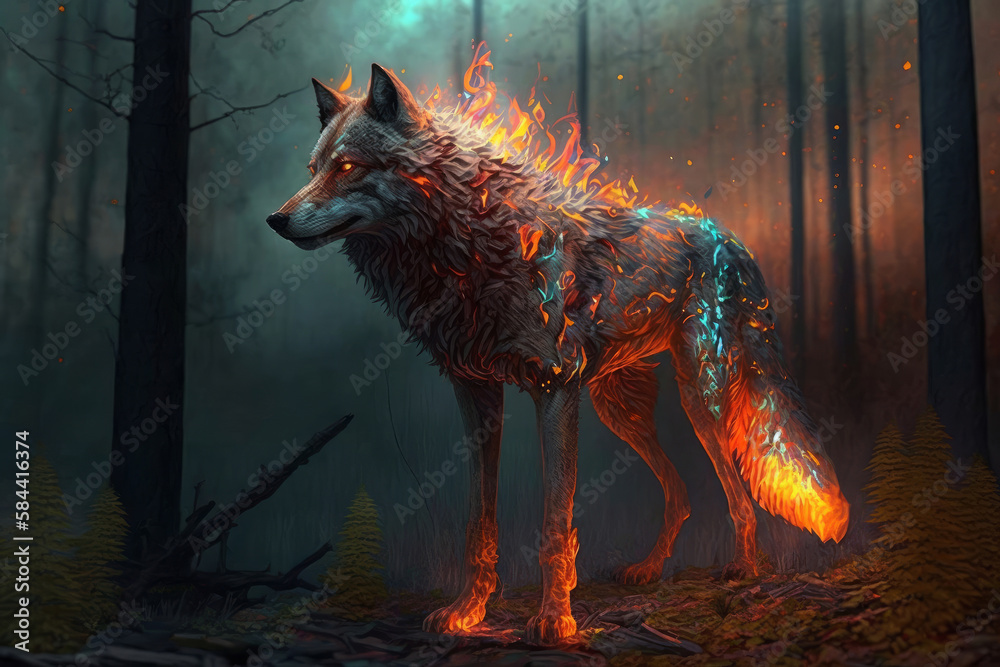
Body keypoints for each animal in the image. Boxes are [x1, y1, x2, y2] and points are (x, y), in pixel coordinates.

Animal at [267, 59, 850, 645]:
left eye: (346, 166)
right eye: (313, 168)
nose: (276, 219)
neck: (468, 244)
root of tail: (726, 235)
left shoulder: (554, 388)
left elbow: (554, 524)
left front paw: (554, 619)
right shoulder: (477, 396)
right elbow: (480, 523)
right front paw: (468, 611)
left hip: (697, 398)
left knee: (735, 490)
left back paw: (744, 568)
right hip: (620, 411)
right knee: (681, 491)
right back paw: (647, 570)